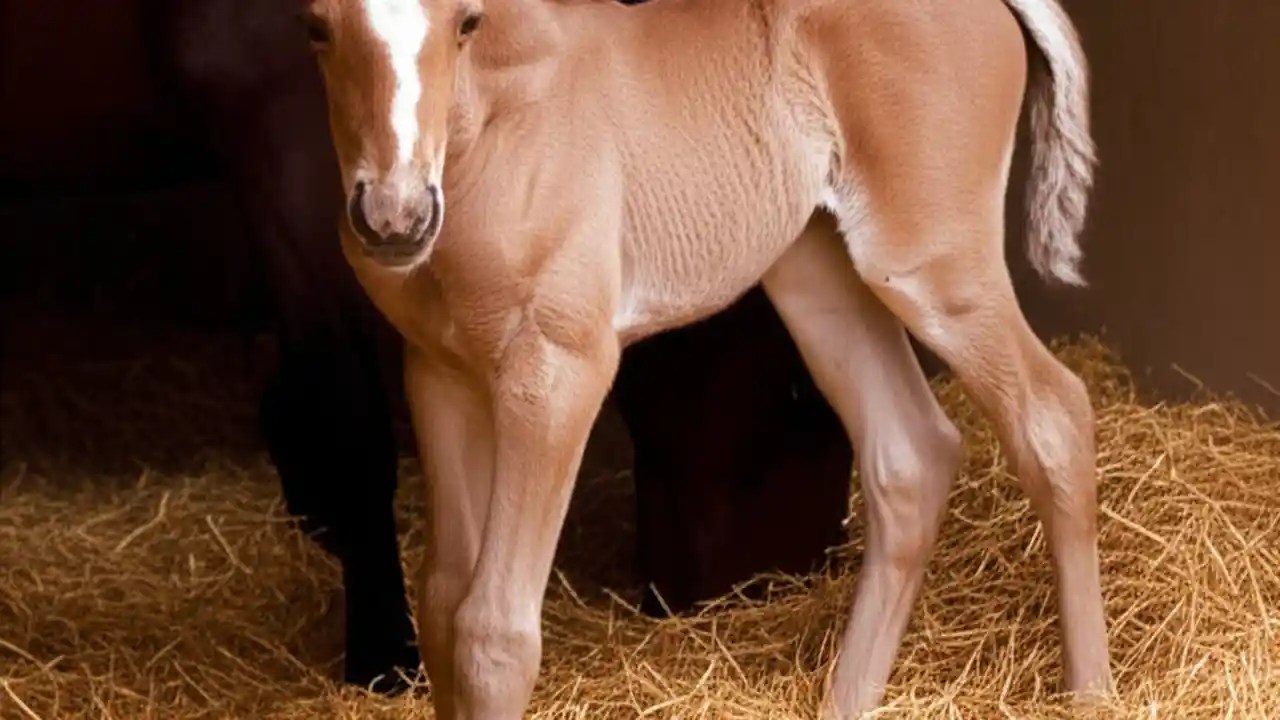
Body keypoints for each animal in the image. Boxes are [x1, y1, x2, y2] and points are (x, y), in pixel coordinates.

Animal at [299, 0, 1113, 716]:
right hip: (818, 271)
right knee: (911, 453)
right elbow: (442, 602)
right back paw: (846, 701)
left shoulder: (557, 368)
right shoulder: (440, 374)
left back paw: (1091, 695)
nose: (395, 218)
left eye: (465, 24)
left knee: (1054, 414)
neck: (494, 125)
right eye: (316, 28)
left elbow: (493, 632)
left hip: (930, 264)